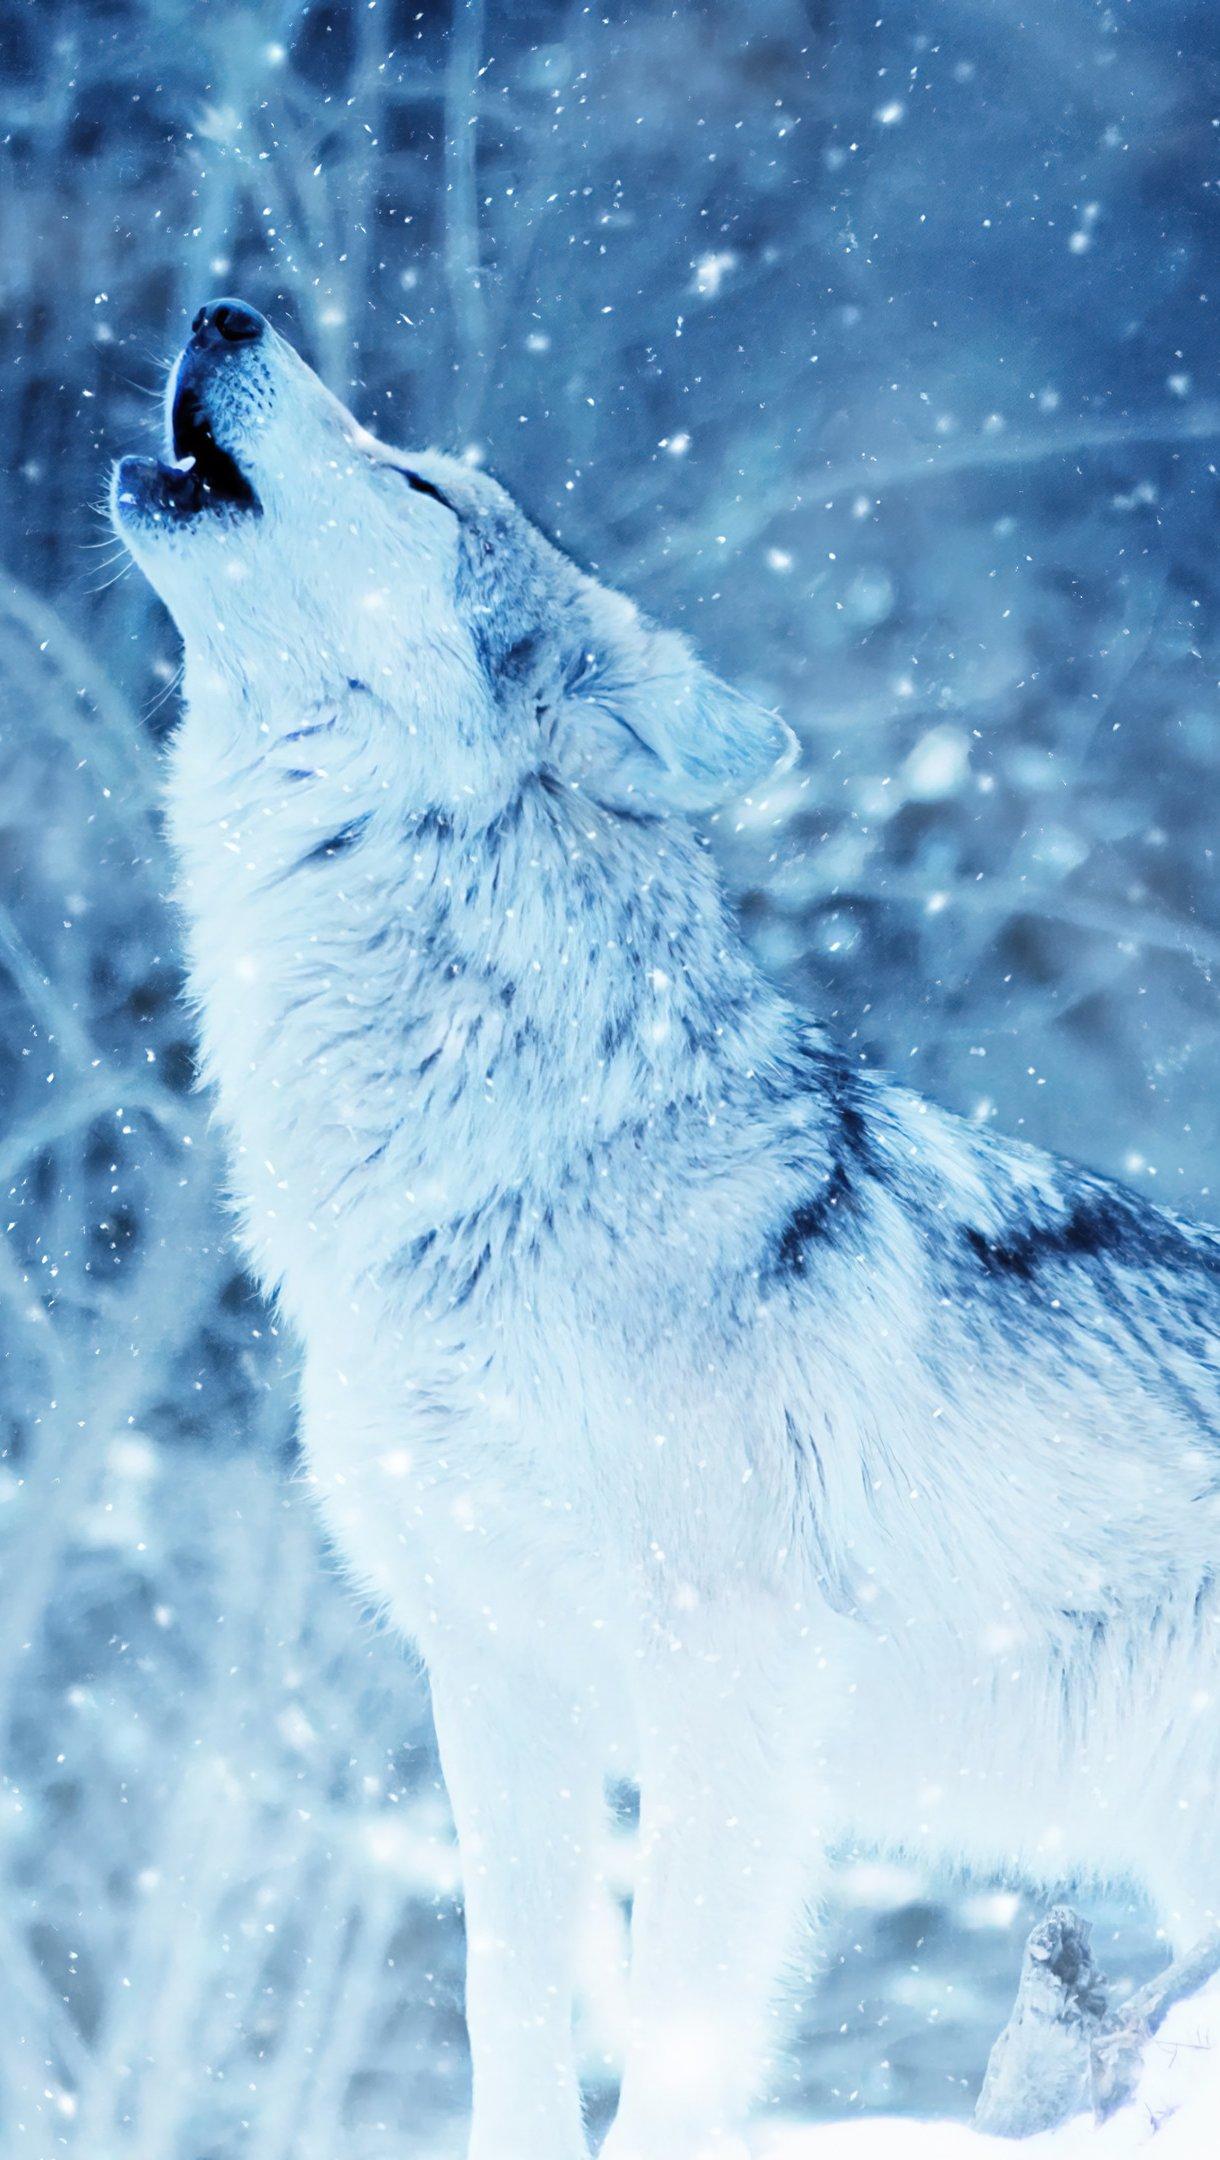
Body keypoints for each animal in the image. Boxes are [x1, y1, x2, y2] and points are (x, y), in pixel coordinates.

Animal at [112, 299, 1220, 2160]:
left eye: (417, 482)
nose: (224, 309)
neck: (503, 1162)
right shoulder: (498, 1688)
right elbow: (507, 2016)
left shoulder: (730, 1701)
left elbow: (682, 2047)